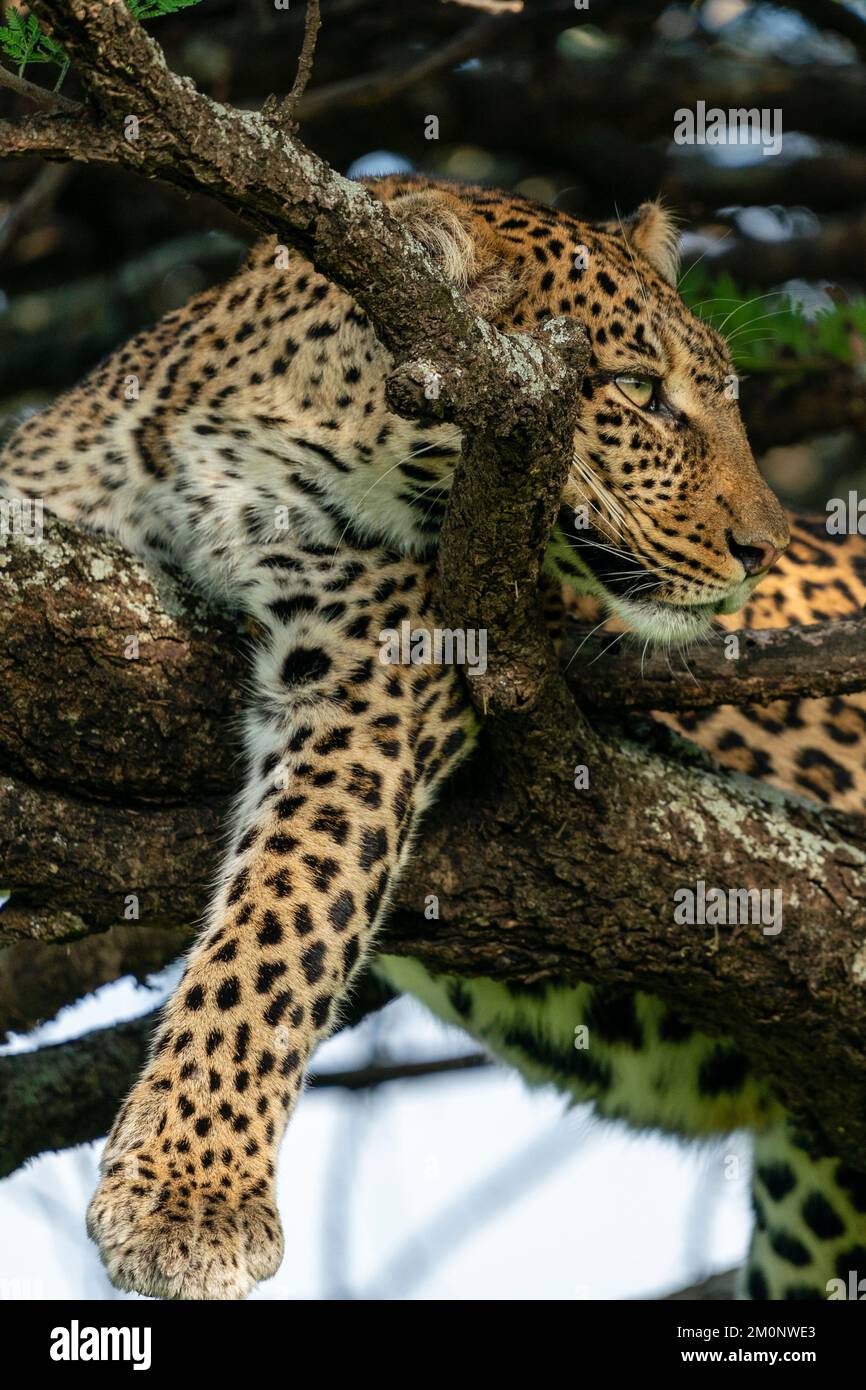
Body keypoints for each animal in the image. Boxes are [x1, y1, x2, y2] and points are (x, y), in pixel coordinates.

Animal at [3, 172, 858, 1302]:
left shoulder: (376, 684)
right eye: (636, 390)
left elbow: (280, 928)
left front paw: (192, 1192)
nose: (761, 549)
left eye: (724, 393)